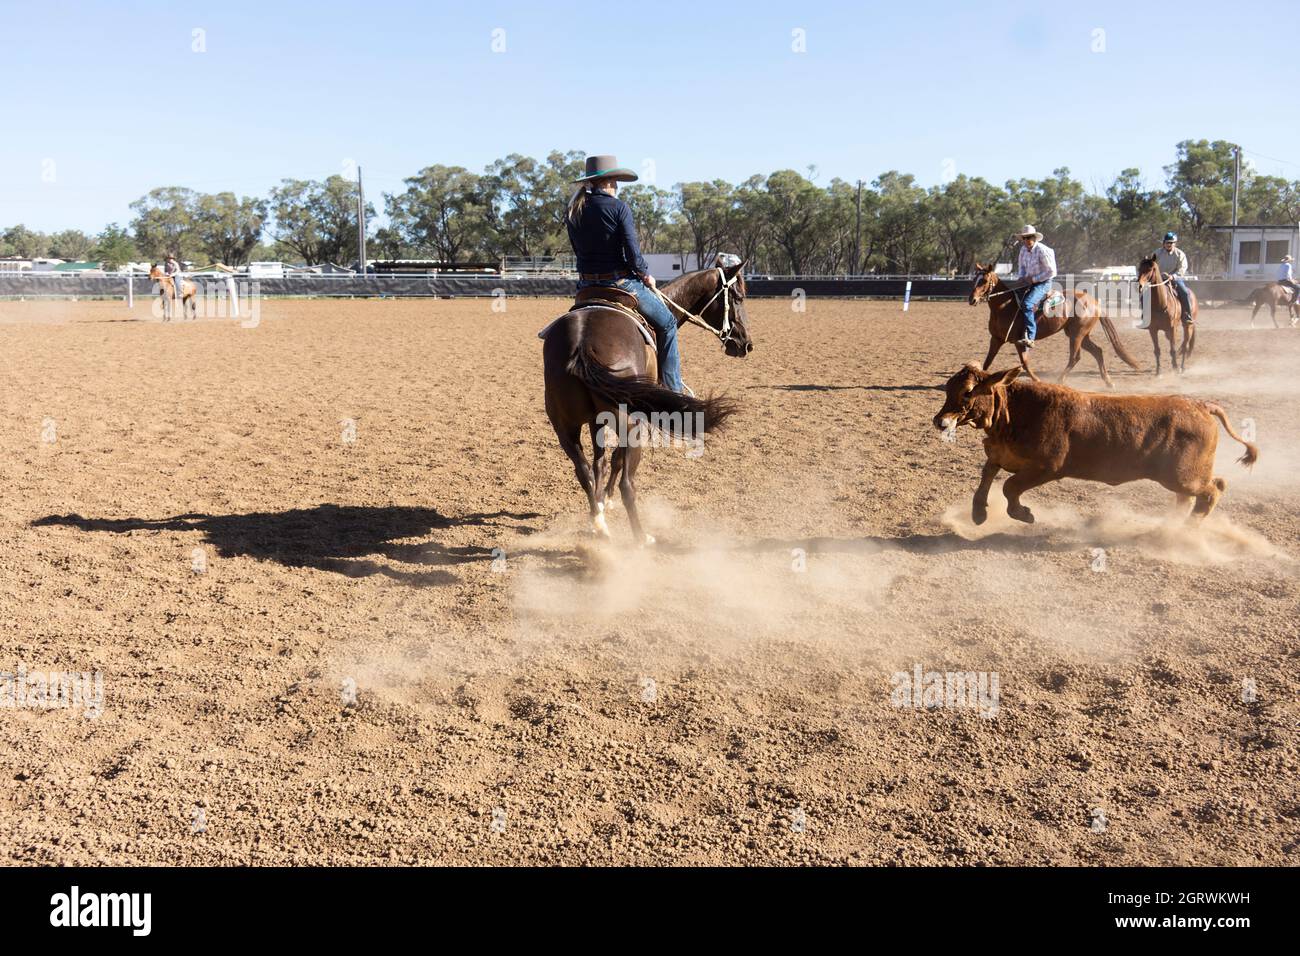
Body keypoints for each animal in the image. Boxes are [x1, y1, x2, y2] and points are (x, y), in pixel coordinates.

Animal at [933, 364, 1259, 525]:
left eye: (967, 392)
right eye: (948, 388)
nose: (940, 421)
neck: (1015, 413)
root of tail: (1201, 405)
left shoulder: (1048, 468)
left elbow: (1010, 487)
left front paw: (1023, 514)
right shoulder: (1001, 455)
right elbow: (987, 475)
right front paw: (978, 513)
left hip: (1184, 476)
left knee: (1215, 488)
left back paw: (1191, 525)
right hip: (1182, 478)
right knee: (1191, 496)